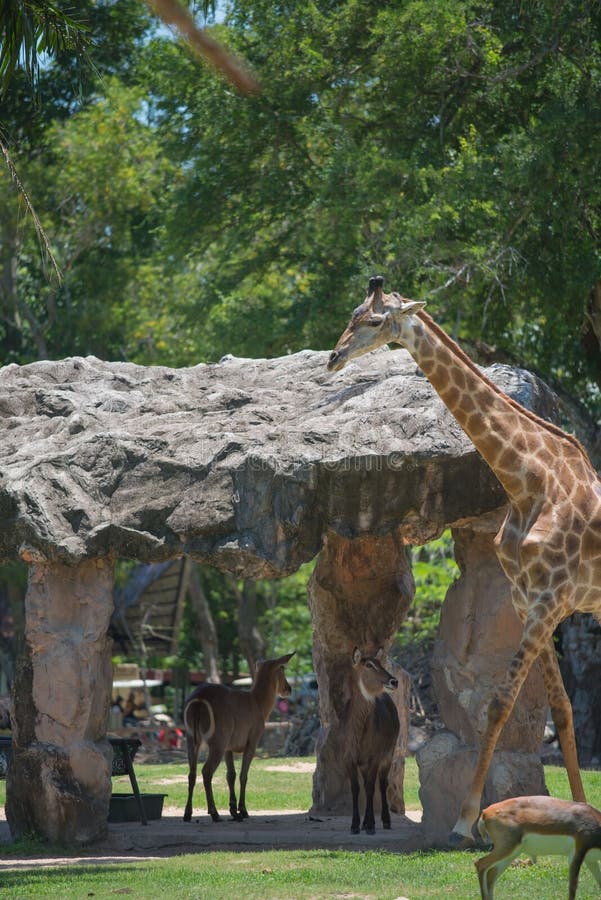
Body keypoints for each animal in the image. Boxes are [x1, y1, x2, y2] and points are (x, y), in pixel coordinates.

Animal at [327, 275, 601, 846]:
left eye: (373, 320)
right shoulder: (531, 601)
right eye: (352, 315)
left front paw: (462, 823)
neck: (528, 480)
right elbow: (563, 710)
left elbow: (498, 704)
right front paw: (579, 811)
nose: (333, 358)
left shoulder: (548, 601)